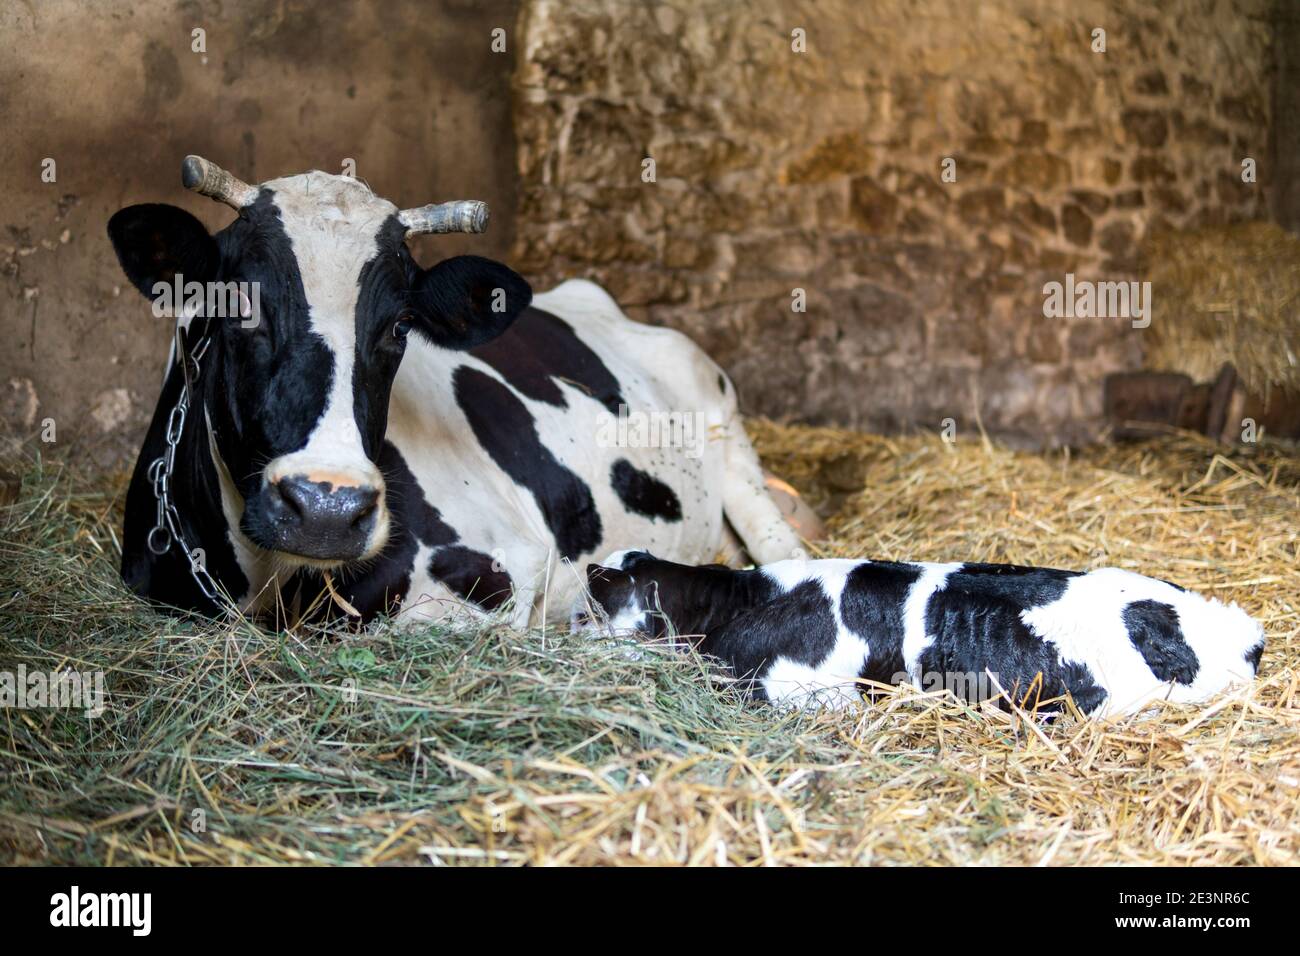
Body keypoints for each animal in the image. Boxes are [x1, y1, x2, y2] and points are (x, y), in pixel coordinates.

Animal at [108, 156, 802, 627]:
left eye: (399, 326)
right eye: (241, 306)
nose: (327, 508)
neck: (266, 581)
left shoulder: (510, 565)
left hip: (728, 432)